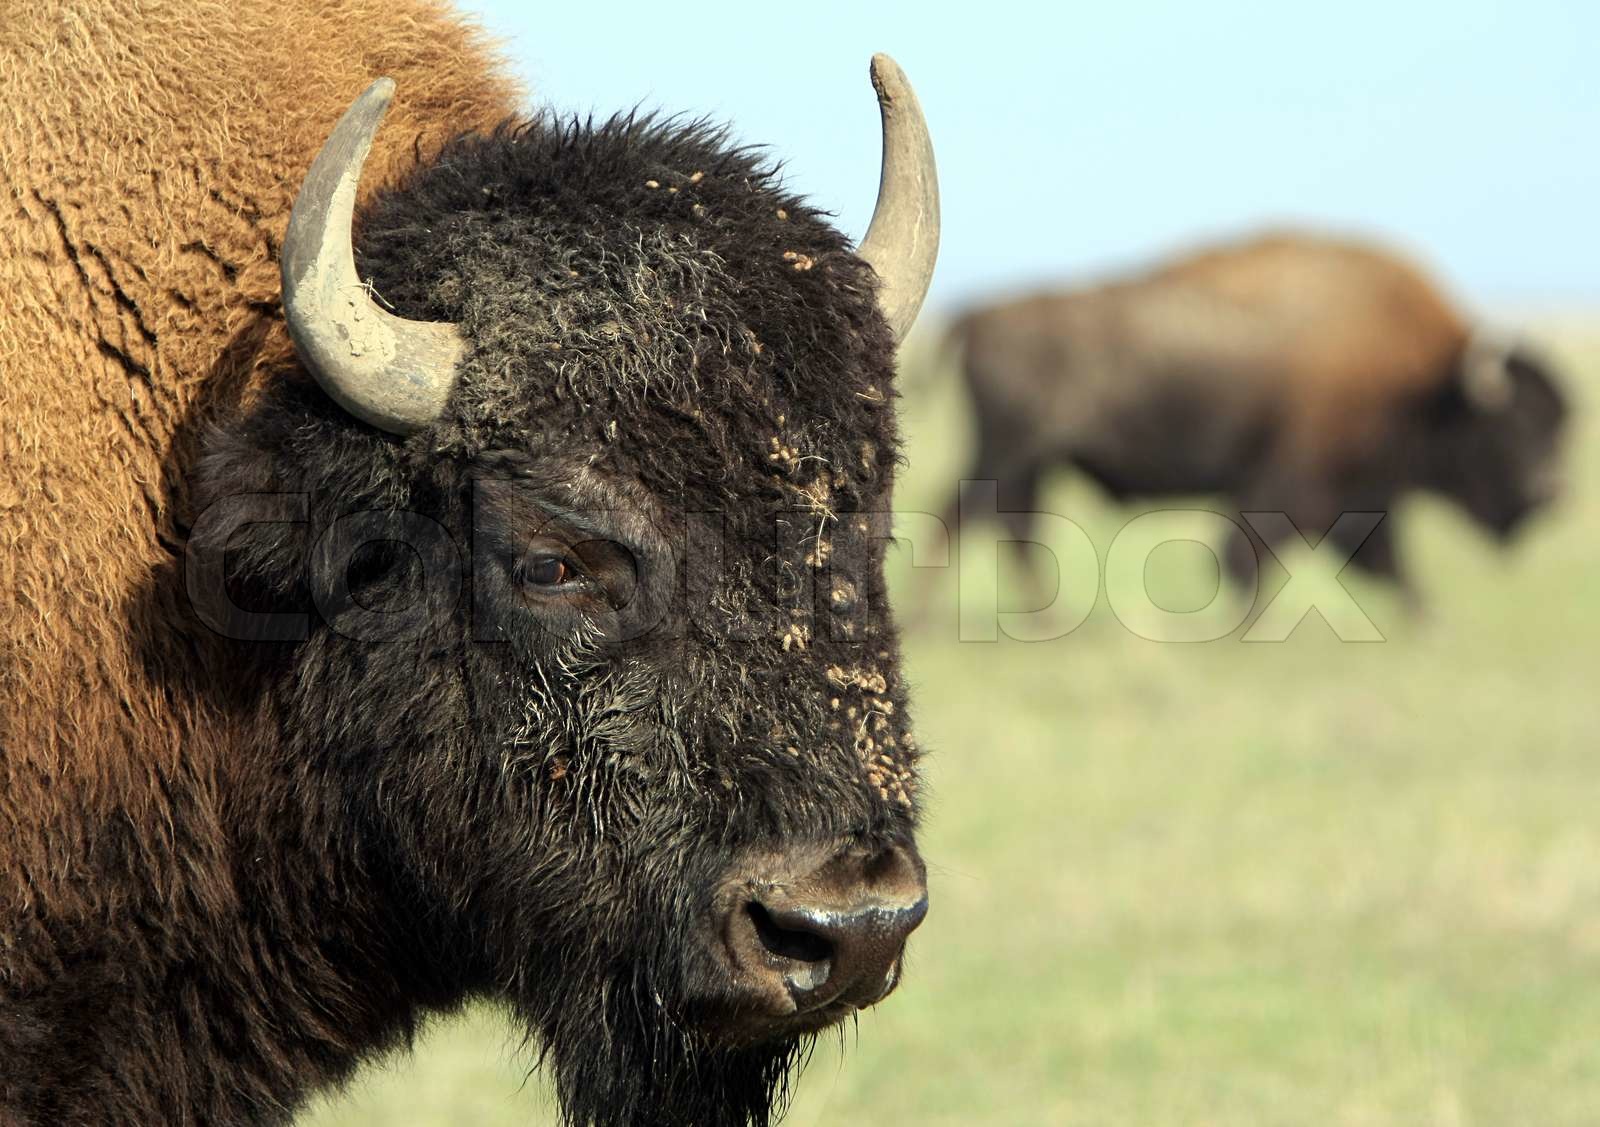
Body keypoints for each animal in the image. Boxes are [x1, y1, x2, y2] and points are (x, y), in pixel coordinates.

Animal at [934, 232, 1569, 607]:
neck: (1427, 383)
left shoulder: (1361, 501)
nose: (1548, 493)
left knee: (1008, 528)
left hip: (1027, 461)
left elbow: (1387, 568)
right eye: (1515, 424)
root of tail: (977, 315)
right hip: (1007, 454)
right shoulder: (1293, 486)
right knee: (965, 518)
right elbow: (1248, 558)